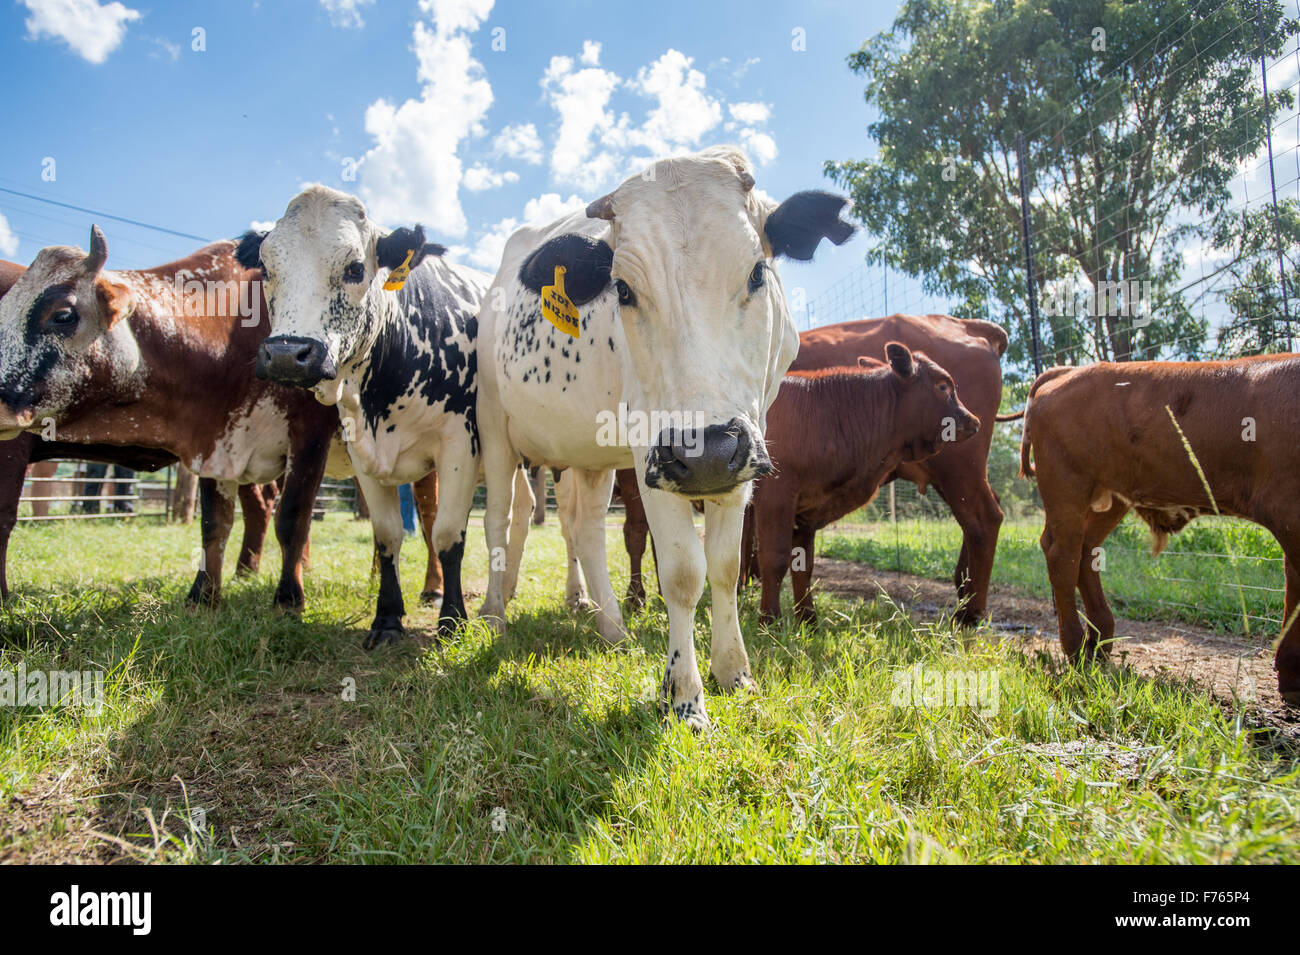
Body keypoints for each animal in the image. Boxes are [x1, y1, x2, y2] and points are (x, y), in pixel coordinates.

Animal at [0, 227, 344, 612]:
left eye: (62, 315)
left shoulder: (310, 434)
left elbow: (293, 518)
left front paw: (288, 599)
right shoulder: (219, 440)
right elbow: (214, 523)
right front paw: (203, 596)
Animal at [239, 185, 525, 646]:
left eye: (355, 267)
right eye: (266, 268)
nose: (287, 354)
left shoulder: (460, 444)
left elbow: (448, 534)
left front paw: (452, 619)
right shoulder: (363, 453)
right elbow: (388, 535)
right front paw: (388, 618)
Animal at [476, 146, 855, 731]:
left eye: (757, 272)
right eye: (623, 289)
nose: (703, 450)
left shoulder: (744, 445)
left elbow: (724, 565)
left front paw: (734, 671)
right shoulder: (652, 451)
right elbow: (681, 572)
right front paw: (684, 696)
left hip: (589, 452)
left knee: (583, 528)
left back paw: (610, 625)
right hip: (495, 425)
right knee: (501, 518)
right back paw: (495, 611)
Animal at [750, 345, 980, 623]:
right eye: (943, 386)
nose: (974, 421)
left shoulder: (807, 508)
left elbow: (804, 565)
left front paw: (808, 620)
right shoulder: (776, 496)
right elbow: (775, 559)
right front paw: (769, 621)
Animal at [1018, 356, 1300, 704]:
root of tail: (1070, 371)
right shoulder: (1287, 509)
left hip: (1111, 496)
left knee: (1086, 549)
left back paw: (1099, 645)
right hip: (1067, 485)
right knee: (1063, 554)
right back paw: (1076, 650)